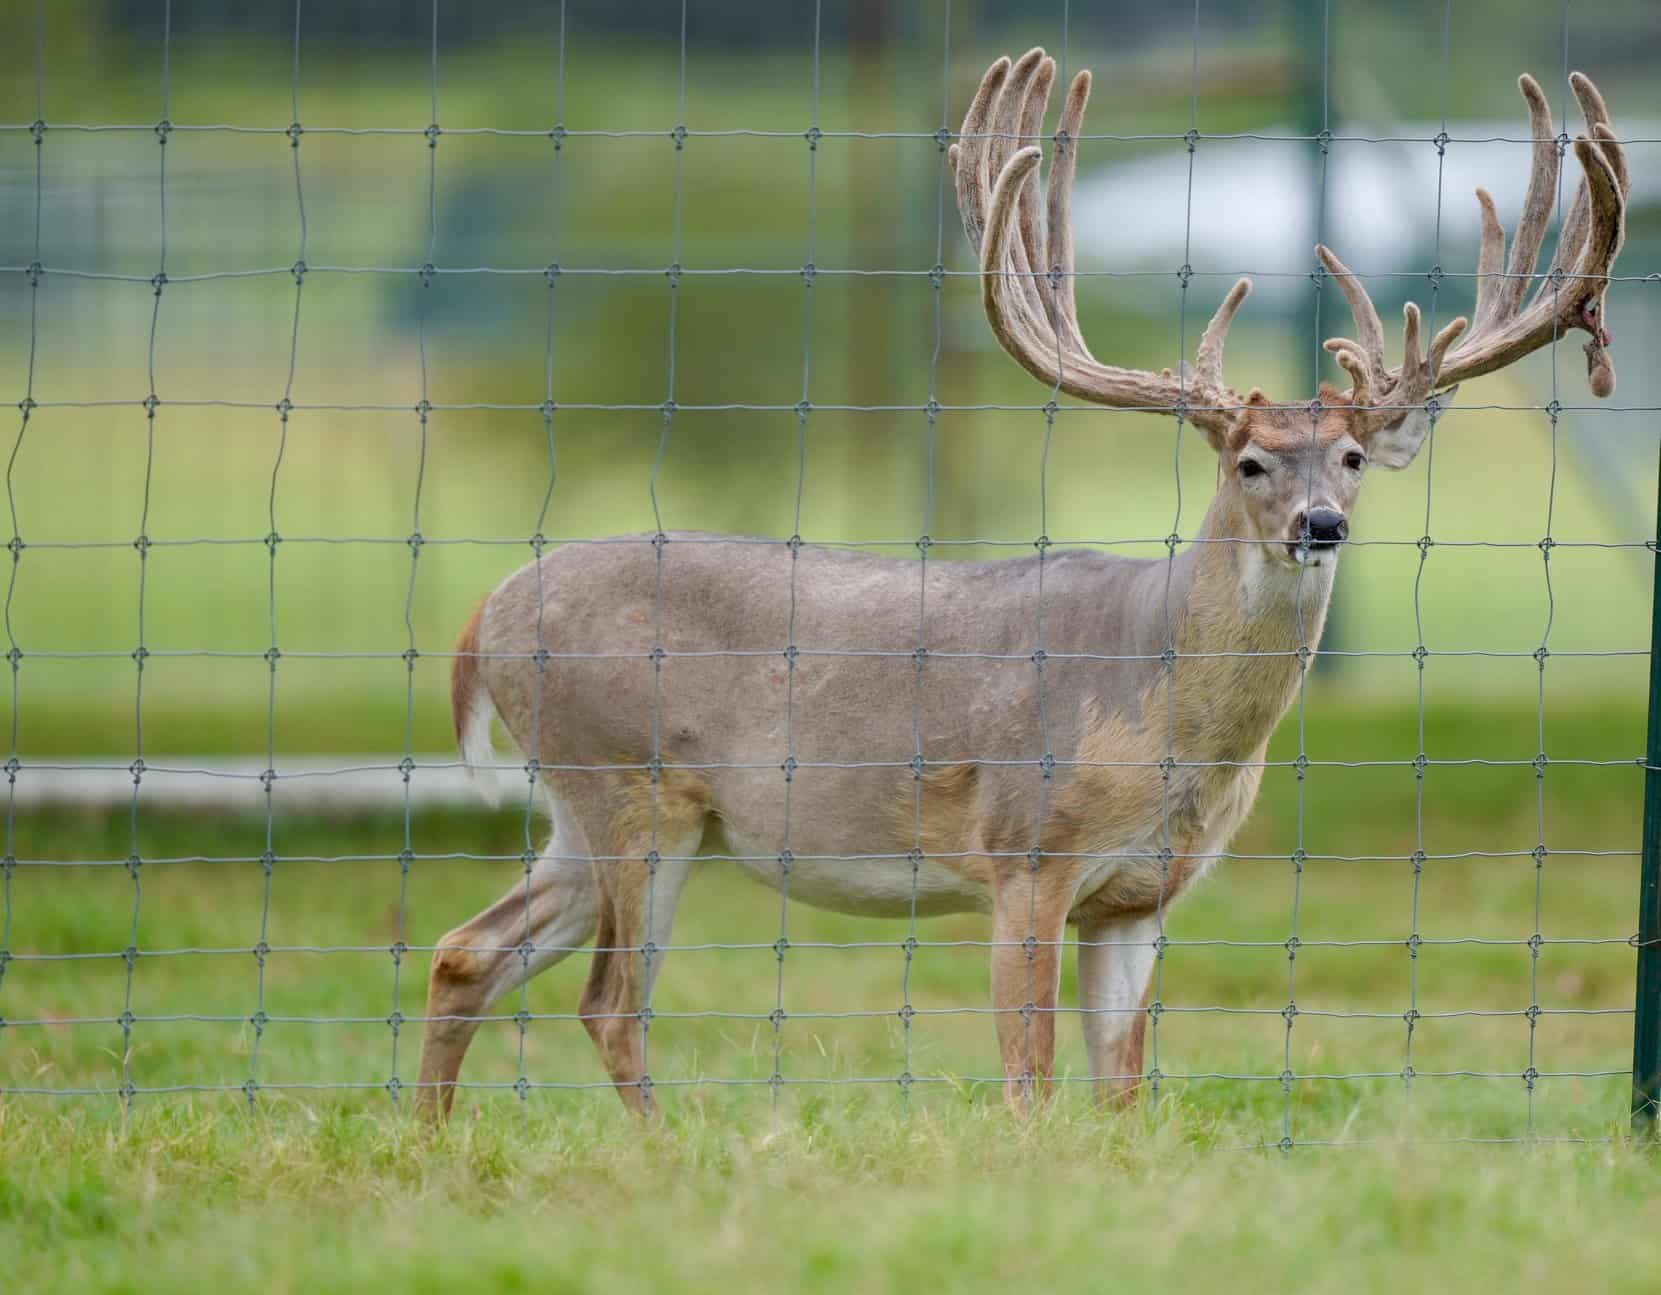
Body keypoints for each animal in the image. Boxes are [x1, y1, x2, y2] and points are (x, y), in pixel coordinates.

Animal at [415, 49, 1628, 1119]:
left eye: (1350, 458)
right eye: (1247, 462)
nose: (1319, 525)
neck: (1161, 708)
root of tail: (485, 614)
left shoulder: (1138, 894)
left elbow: (1121, 1083)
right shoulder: (1023, 849)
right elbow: (1027, 1075)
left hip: (586, 812)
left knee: (465, 951)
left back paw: (433, 1141)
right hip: (632, 787)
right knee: (608, 1001)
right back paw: (658, 1145)